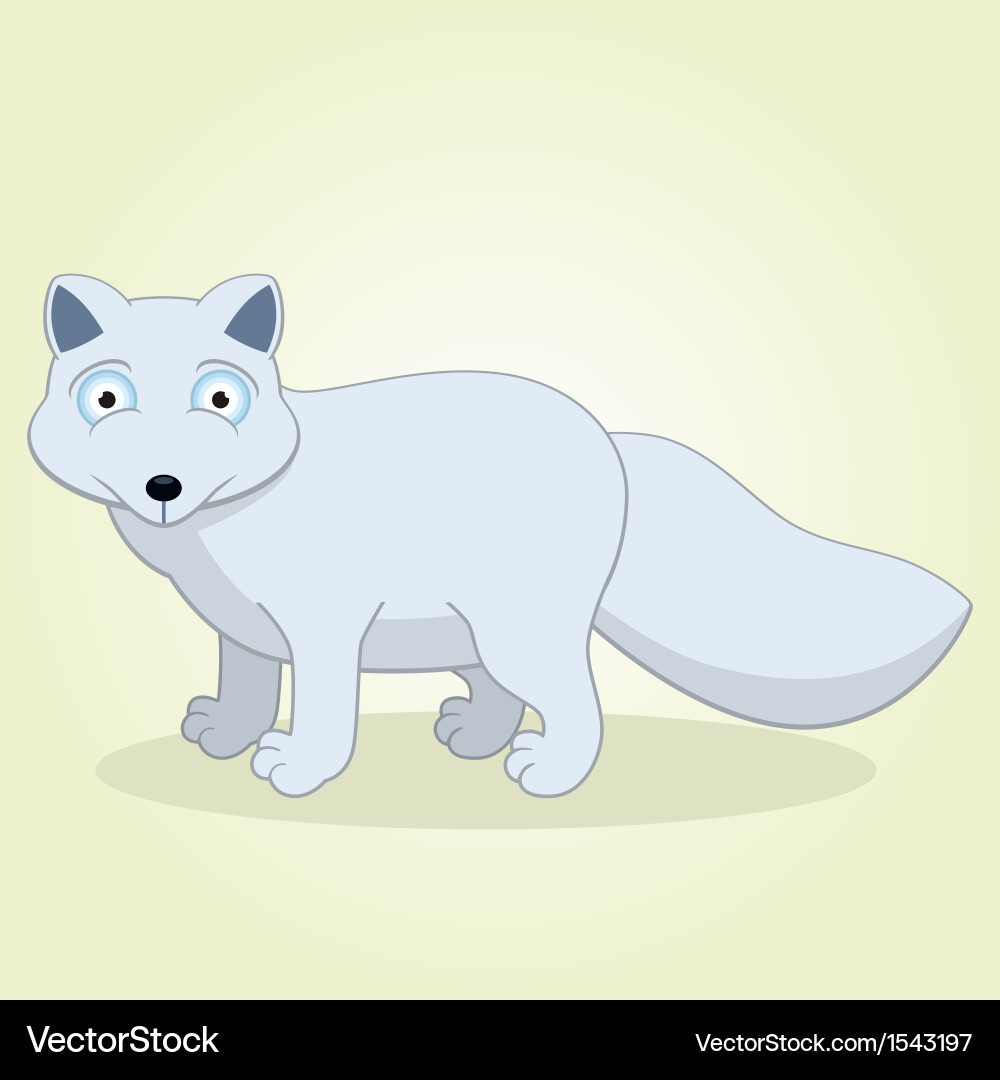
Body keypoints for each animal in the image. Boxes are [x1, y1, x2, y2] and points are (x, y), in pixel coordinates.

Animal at [28, 273, 971, 798]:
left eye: (220, 399)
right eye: (105, 399)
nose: (163, 486)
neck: (212, 538)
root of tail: (610, 440)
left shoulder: (324, 630)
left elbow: (324, 711)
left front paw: (298, 769)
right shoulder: (245, 631)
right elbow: (250, 691)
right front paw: (226, 736)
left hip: (520, 634)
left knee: (579, 705)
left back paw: (548, 776)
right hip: (474, 637)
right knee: (503, 695)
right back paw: (474, 738)